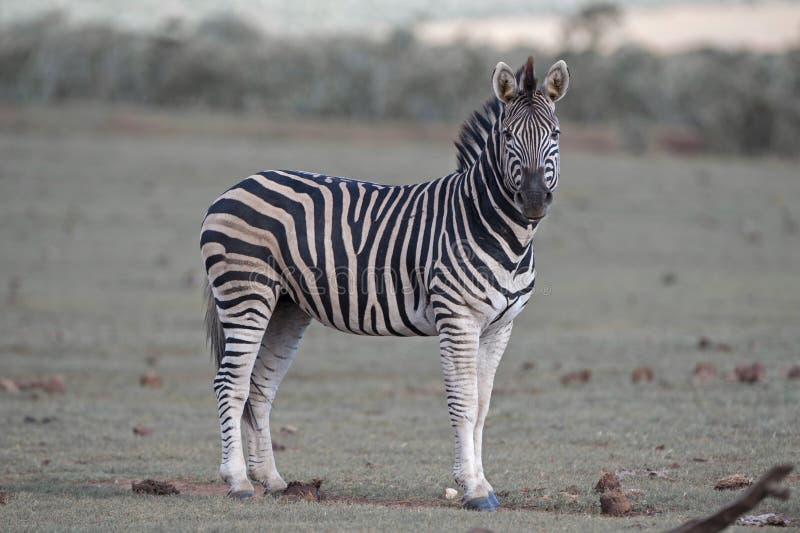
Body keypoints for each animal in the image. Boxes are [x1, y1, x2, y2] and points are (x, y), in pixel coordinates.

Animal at [201, 55, 569, 510]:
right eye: (507, 135)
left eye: (555, 134)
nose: (534, 200)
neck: (491, 225)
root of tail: (239, 184)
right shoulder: (458, 318)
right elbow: (463, 403)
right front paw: (472, 488)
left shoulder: (501, 326)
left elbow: (483, 406)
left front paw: (482, 483)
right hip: (244, 293)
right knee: (230, 383)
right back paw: (237, 481)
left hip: (286, 306)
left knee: (259, 387)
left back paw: (272, 480)